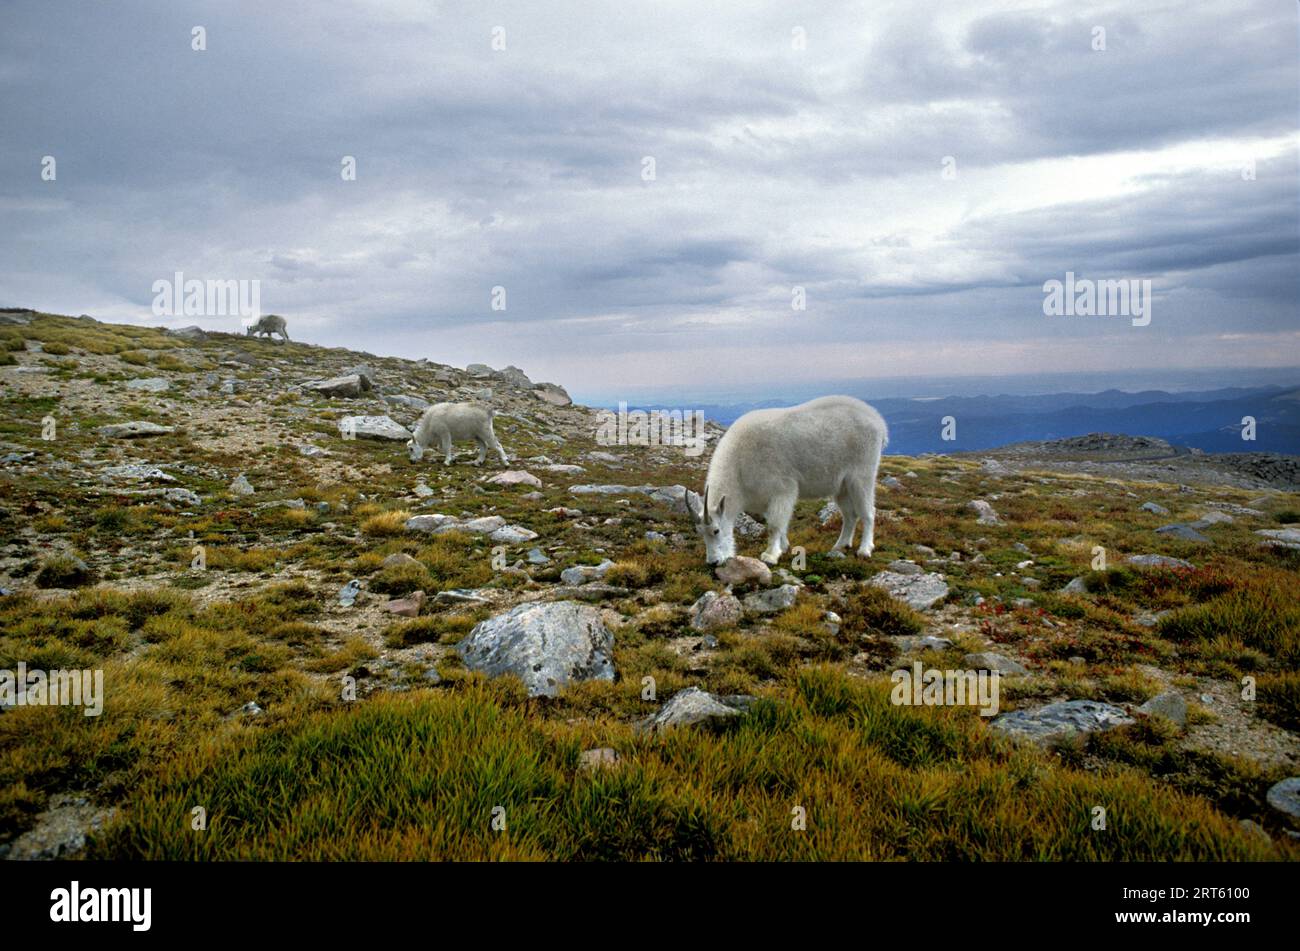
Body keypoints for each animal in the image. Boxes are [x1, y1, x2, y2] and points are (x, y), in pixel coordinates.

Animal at [688, 395, 888, 565]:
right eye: (700, 532)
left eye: (716, 530)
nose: (713, 562)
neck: (739, 468)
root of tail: (878, 422)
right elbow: (779, 524)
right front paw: (784, 547)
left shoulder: (782, 488)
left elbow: (774, 525)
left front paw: (770, 555)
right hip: (842, 486)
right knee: (850, 515)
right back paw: (840, 545)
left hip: (862, 475)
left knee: (868, 512)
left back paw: (865, 549)